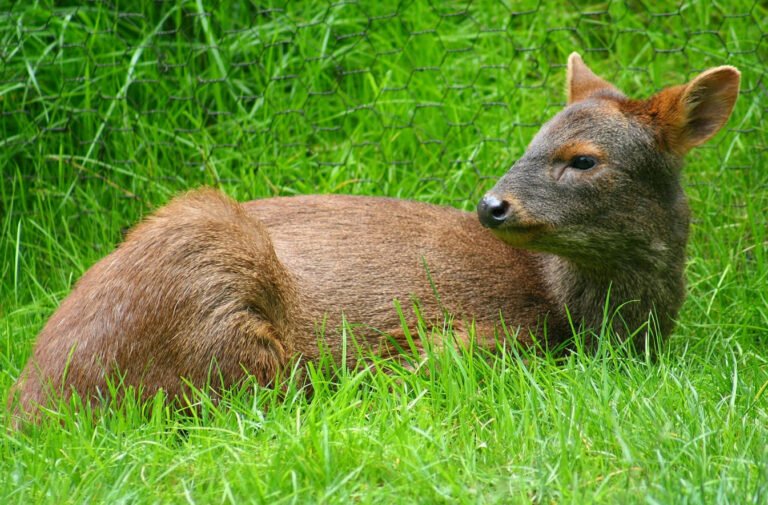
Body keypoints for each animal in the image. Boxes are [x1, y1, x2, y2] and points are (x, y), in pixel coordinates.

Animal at [8, 53, 740, 422]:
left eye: (584, 159)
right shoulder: (471, 339)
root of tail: (31, 403)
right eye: (531, 142)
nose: (491, 205)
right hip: (210, 261)